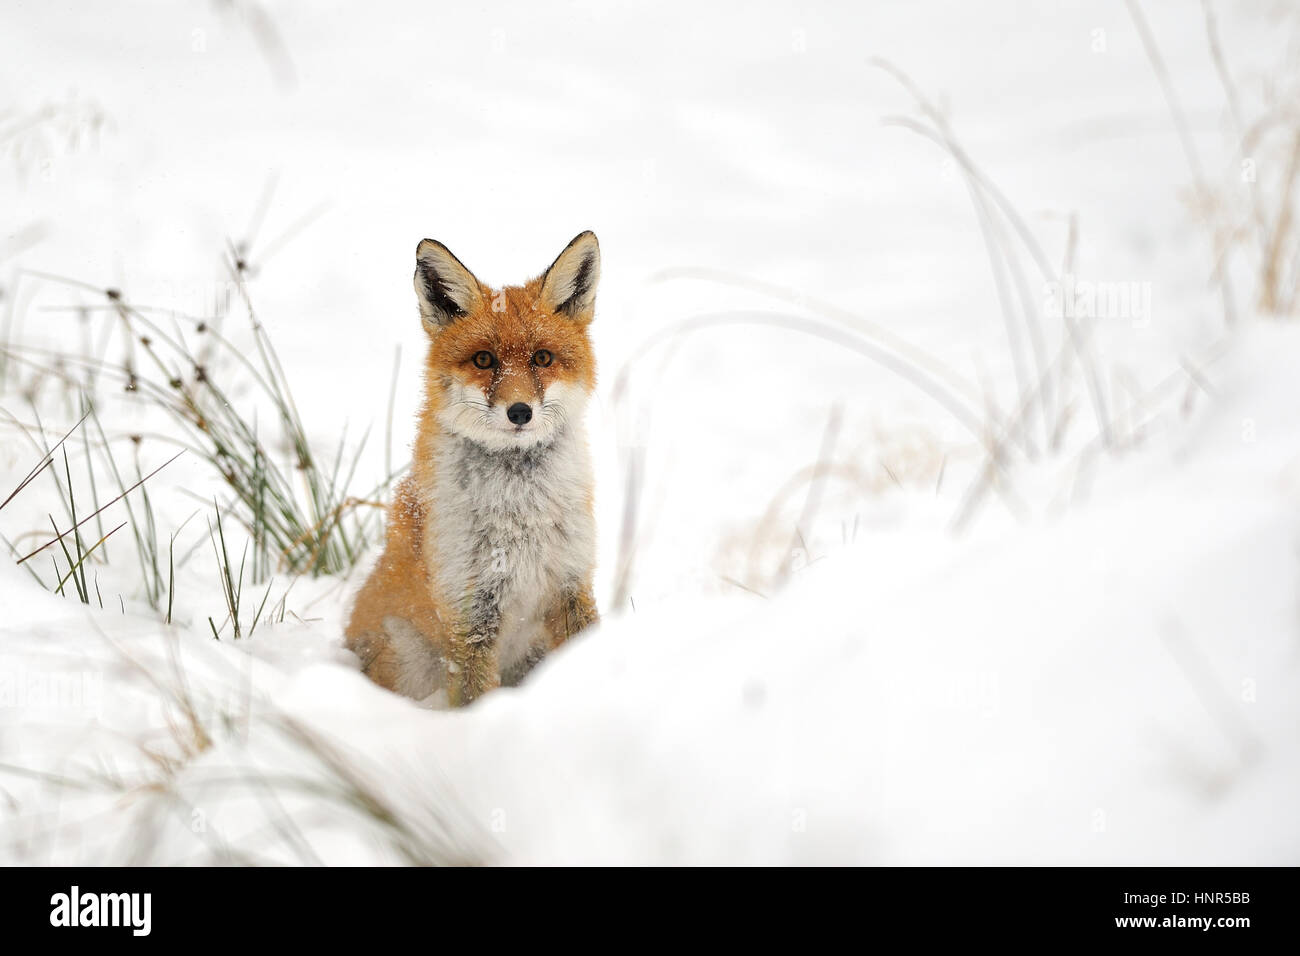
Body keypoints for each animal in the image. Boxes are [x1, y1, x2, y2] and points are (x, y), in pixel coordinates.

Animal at [345, 231, 602, 706]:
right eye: (484, 360)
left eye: (542, 358)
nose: (519, 412)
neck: (521, 514)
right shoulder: (469, 611)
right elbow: (474, 695)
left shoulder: (571, 582)